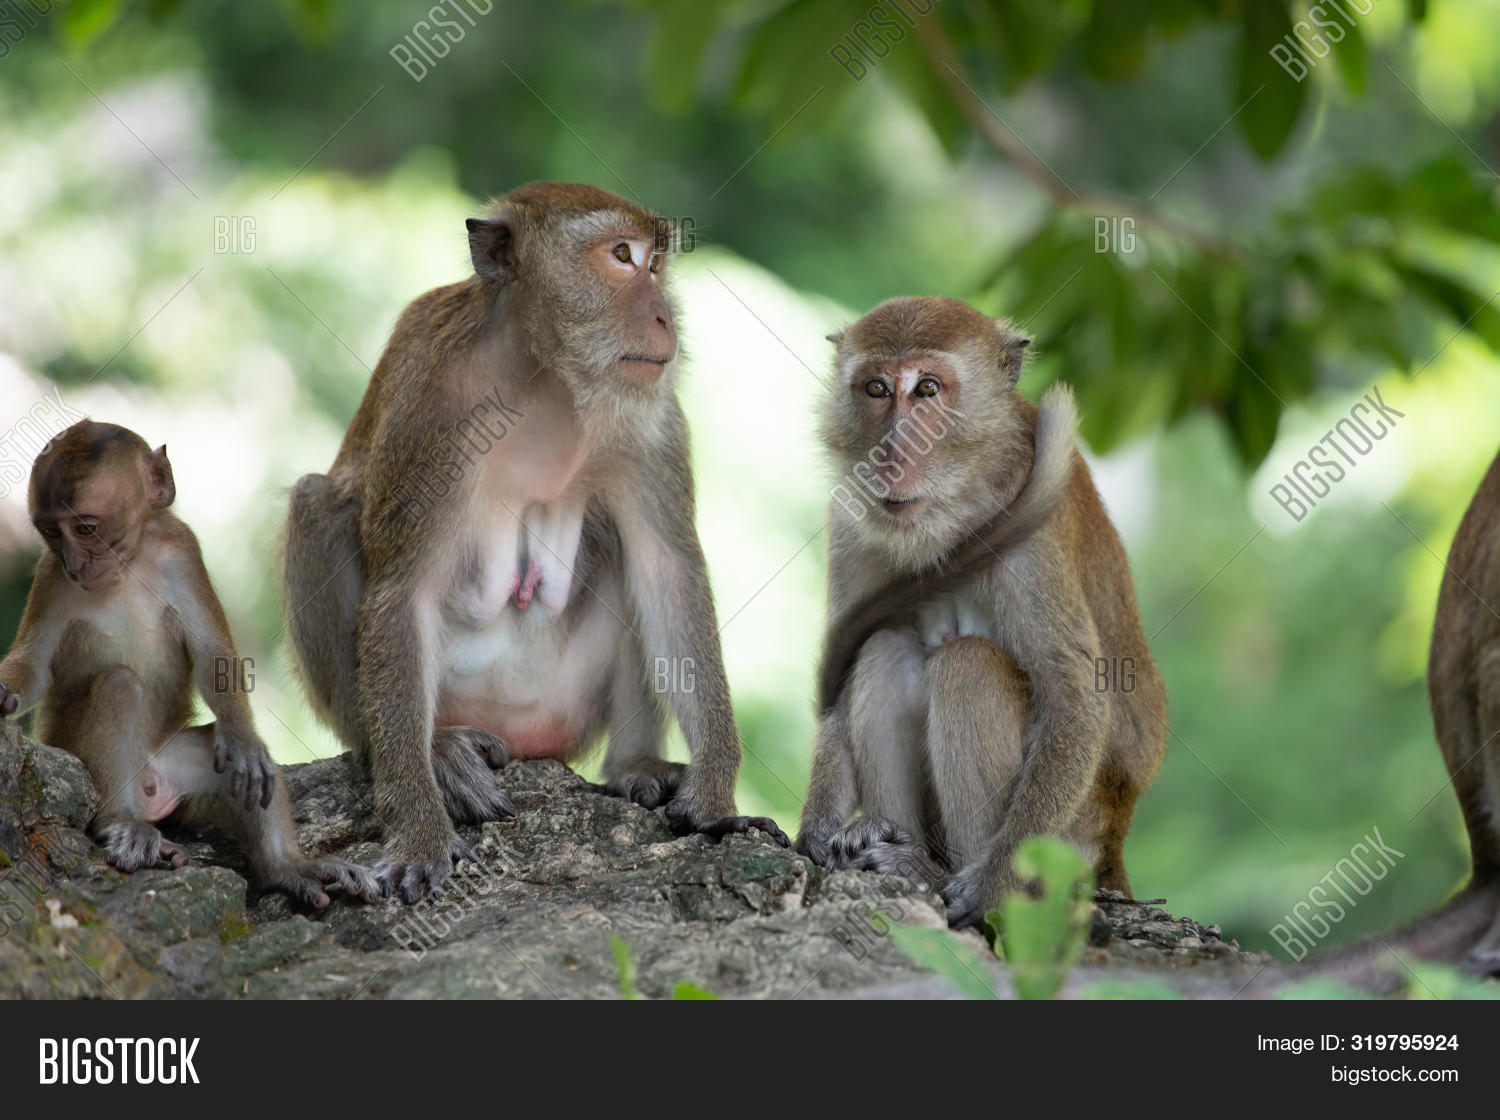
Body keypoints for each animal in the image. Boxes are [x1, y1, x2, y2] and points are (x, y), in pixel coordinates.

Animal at [0, 421, 376, 908]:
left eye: (85, 528)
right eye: (50, 532)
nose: (76, 563)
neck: (128, 564)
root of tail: (153, 787)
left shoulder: (181, 551)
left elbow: (213, 656)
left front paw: (244, 741)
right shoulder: (51, 577)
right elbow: (35, 667)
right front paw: (4, 693)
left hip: (180, 766)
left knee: (231, 757)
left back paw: (286, 866)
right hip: (74, 750)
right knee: (119, 685)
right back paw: (126, 822)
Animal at [282, 181, 787, 903]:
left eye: (656, 262)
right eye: (621, 256)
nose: (666, 318)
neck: (544, 379)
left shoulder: (651, 418)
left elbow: (668, 570)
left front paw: (717, 800)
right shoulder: (434, 413)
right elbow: (402, 594)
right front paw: (418, 833)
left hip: (567, 703)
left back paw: (633, 763)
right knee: (314, 507)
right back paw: (433, 748)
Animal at [795, 296, 1167, 930]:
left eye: (927, 389)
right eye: (876, 388)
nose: (892, 451)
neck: (952, 512)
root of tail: (1116, 836)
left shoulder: (1035, 535)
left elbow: (1075, 697)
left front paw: (993, 885)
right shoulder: (848, 521)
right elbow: (843, 681)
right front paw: (818, 830)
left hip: (1073, 841)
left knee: (968, 665)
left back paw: (937, 873)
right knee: (884, 650)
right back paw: (894, 847)